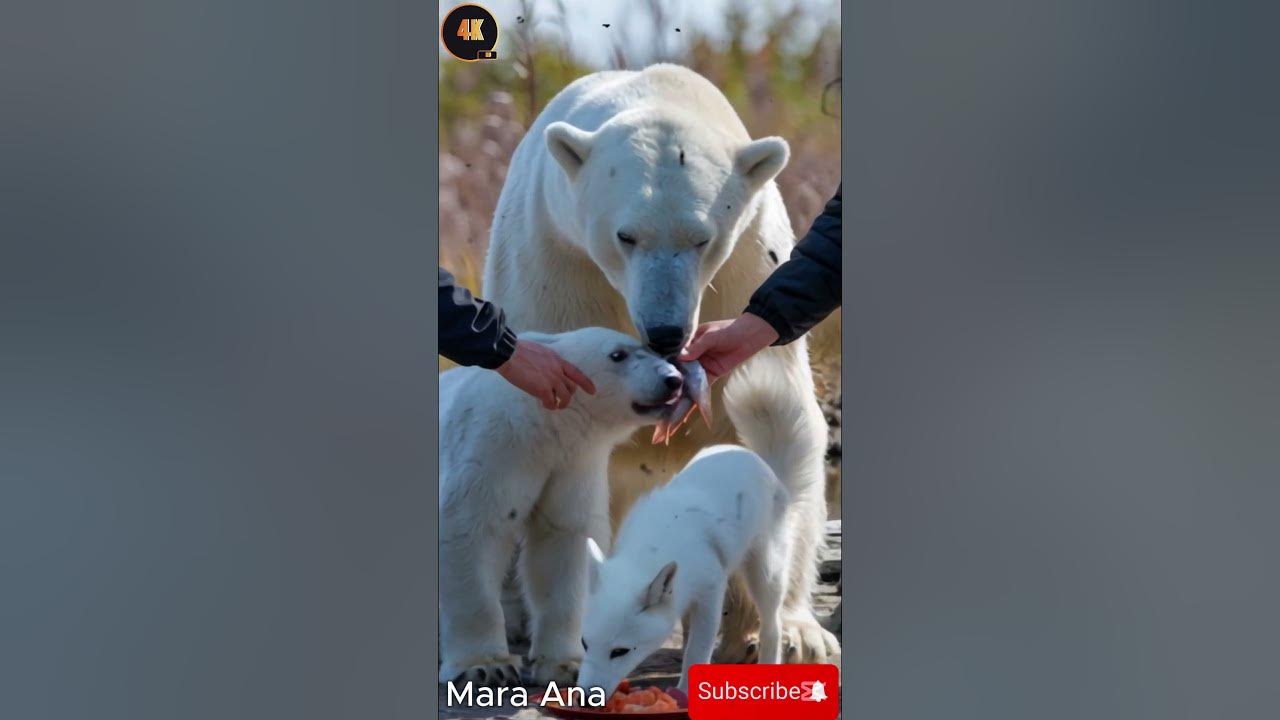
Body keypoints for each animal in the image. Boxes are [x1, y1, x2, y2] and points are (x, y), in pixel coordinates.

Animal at [483, 64, 839, 664]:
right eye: (626, 235)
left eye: (702, 237)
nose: (667, 332)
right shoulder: (559, 270)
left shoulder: (745, 270)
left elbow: (764, 433)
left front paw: (776, 633)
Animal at [576, 444, 791, 694]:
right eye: (584, 643)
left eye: (620, 652)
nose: (584, 698)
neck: (655, 543)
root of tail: (743, 451)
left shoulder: (711, 592)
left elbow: (697, 652)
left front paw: (684, 694)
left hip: (765, 575)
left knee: (773, 627)